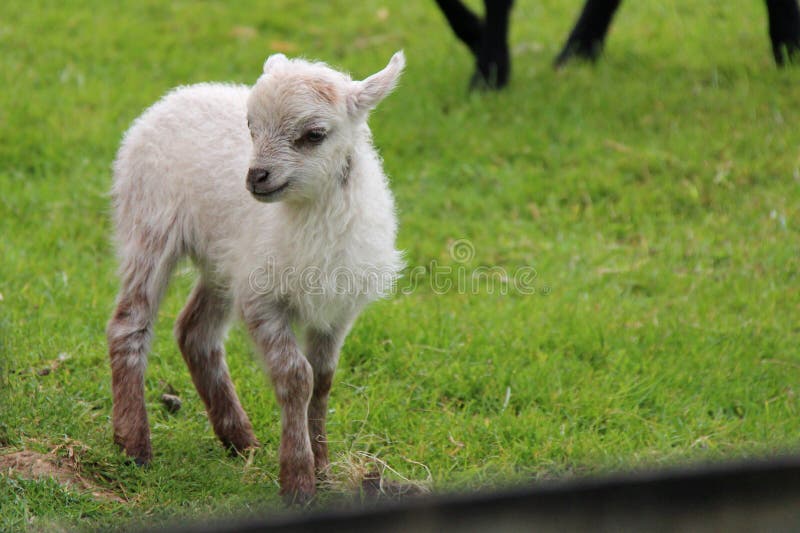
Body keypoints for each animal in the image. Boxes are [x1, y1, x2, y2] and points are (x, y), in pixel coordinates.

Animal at [106, 51, 406, 503]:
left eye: (314, 134)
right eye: (250, 127)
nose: (256, 176)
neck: (308, 215)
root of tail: (176, 96)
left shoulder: (337, 308)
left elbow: (323, 380)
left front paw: (322, 468)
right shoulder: (263, 301)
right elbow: (296, 377)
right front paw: (298, 479)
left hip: (226, 260)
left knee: (195, 331)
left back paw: (239, 438)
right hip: (150, 222)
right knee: (129, 324)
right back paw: (134, 444)